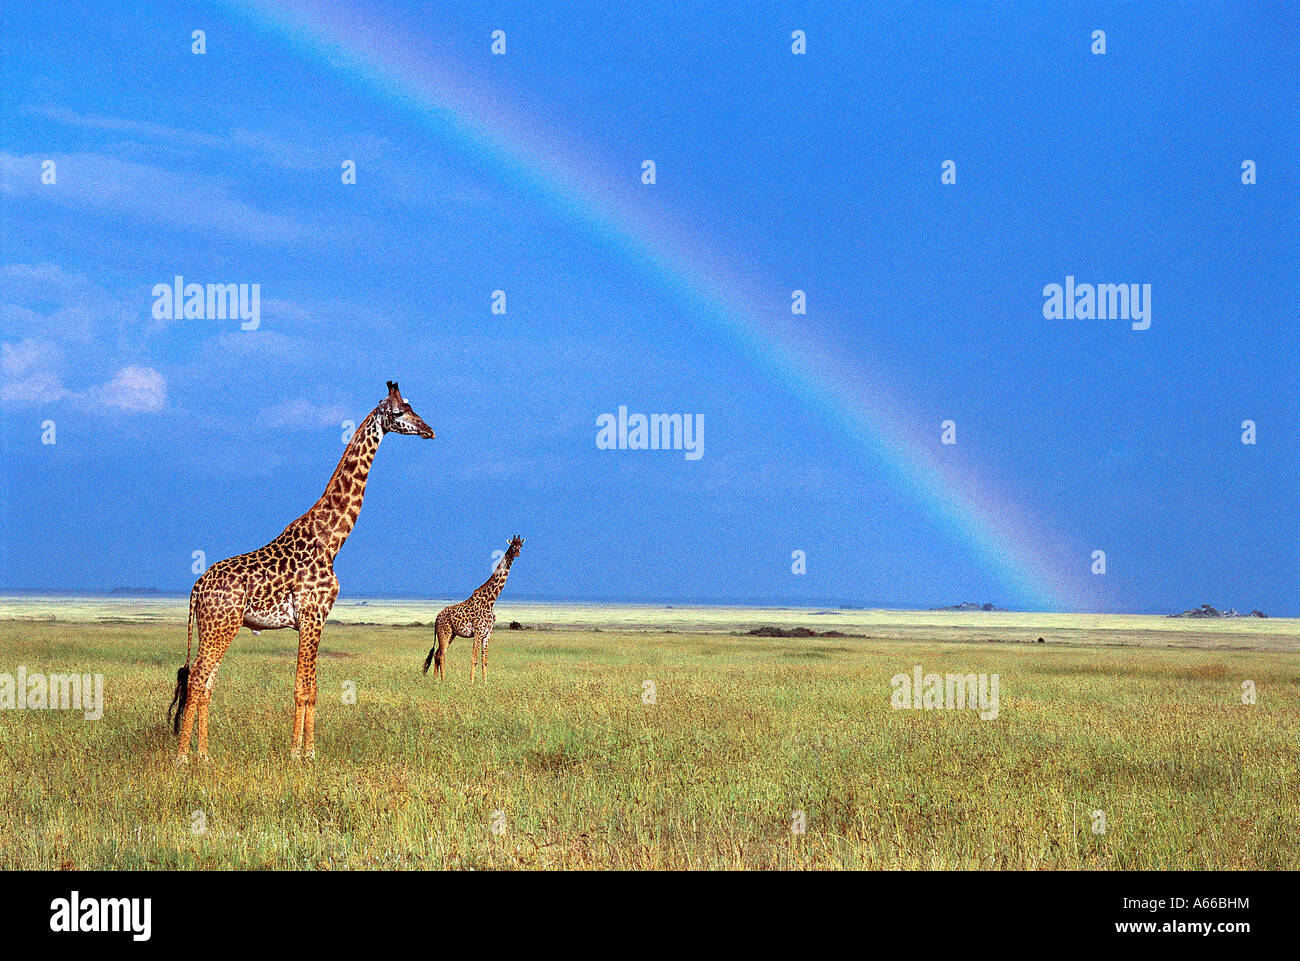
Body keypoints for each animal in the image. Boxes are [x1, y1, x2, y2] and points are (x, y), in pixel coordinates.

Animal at [168, 381, 434, 763]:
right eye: (398, 412)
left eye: (413, 406)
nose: (429, 430)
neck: (333, 539)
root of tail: (195, 588)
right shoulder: (312, 617)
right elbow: (303, 688)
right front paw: (299, 753)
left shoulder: (316, 620)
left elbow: (313, 686)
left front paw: (308, 750)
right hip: (221, 626)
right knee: (195, 681)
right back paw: (183, 757)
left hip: (213, 628)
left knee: (205, 683)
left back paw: (203, 754)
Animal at [422, 535, 524, 684]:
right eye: (512, 545)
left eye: (521, 545)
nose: (517, 553)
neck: (491, 600)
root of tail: (436, 618)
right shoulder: (478, 632)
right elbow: (474, 659)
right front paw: (471, 683)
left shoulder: (487, 633)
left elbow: (484, 661)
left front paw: (485, 683)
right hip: (444, 632)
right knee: (442, 654)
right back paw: (443, 679)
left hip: (452, 634)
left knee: (437, 654)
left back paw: (436, 679)